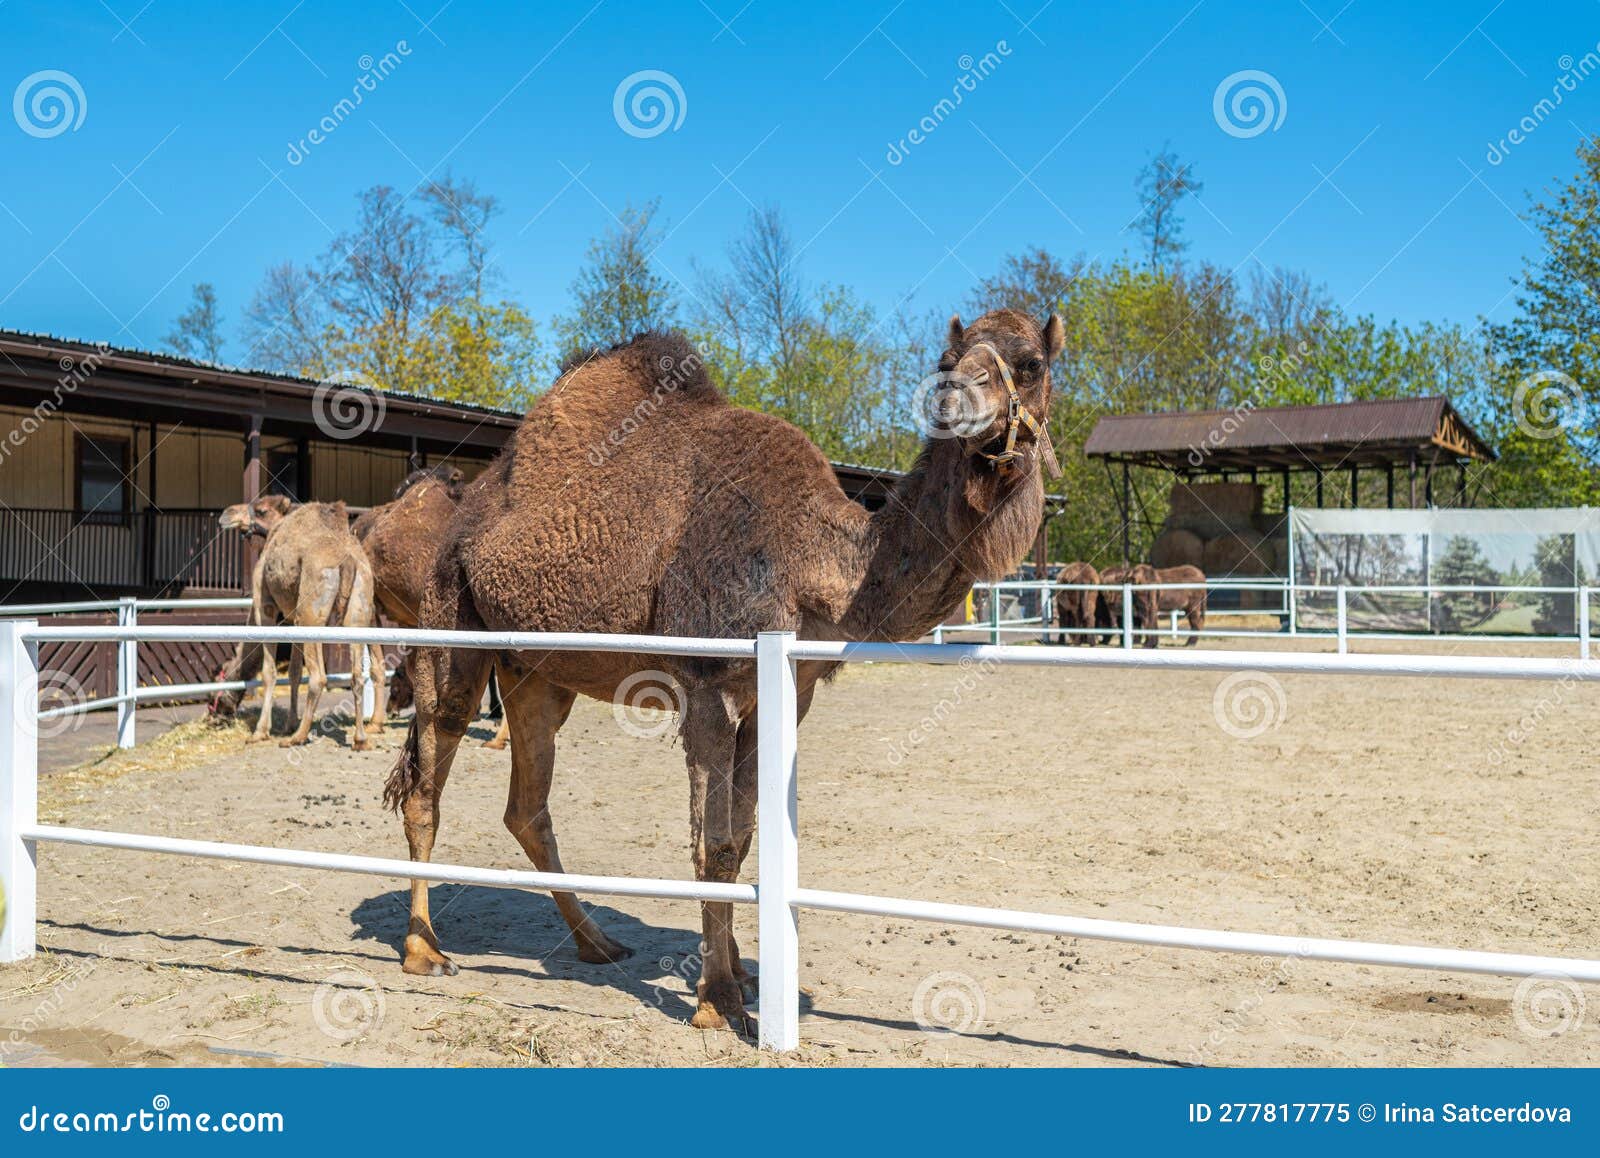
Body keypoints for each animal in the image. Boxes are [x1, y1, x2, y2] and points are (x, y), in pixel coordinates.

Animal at [213, 496, 386, 748]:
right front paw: (288, 723)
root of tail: (347, 559)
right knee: (357, 675)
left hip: (312, 610)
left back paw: (298, 737)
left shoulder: (265, 607)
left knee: (318, 677)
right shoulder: (293, 619)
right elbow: (294, 671)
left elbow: (269, 672)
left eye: (260, 510)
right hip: (359, 605)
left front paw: (261, 731)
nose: (226, 515)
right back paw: (361, 738)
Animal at [386, 311, 1063, 1033]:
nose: (954, 401)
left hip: (535, 674)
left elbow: (740, 837)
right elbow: (711, 842)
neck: (817, 561)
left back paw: (597, 943)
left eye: (1032, 364)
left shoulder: (783, 694)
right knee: (429, 781)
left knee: (526, 809)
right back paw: (424, 952)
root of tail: (463, 513)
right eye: (946, 361)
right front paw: (717, 1001)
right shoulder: (707, 683)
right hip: (449, 629)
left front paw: (737, 972)